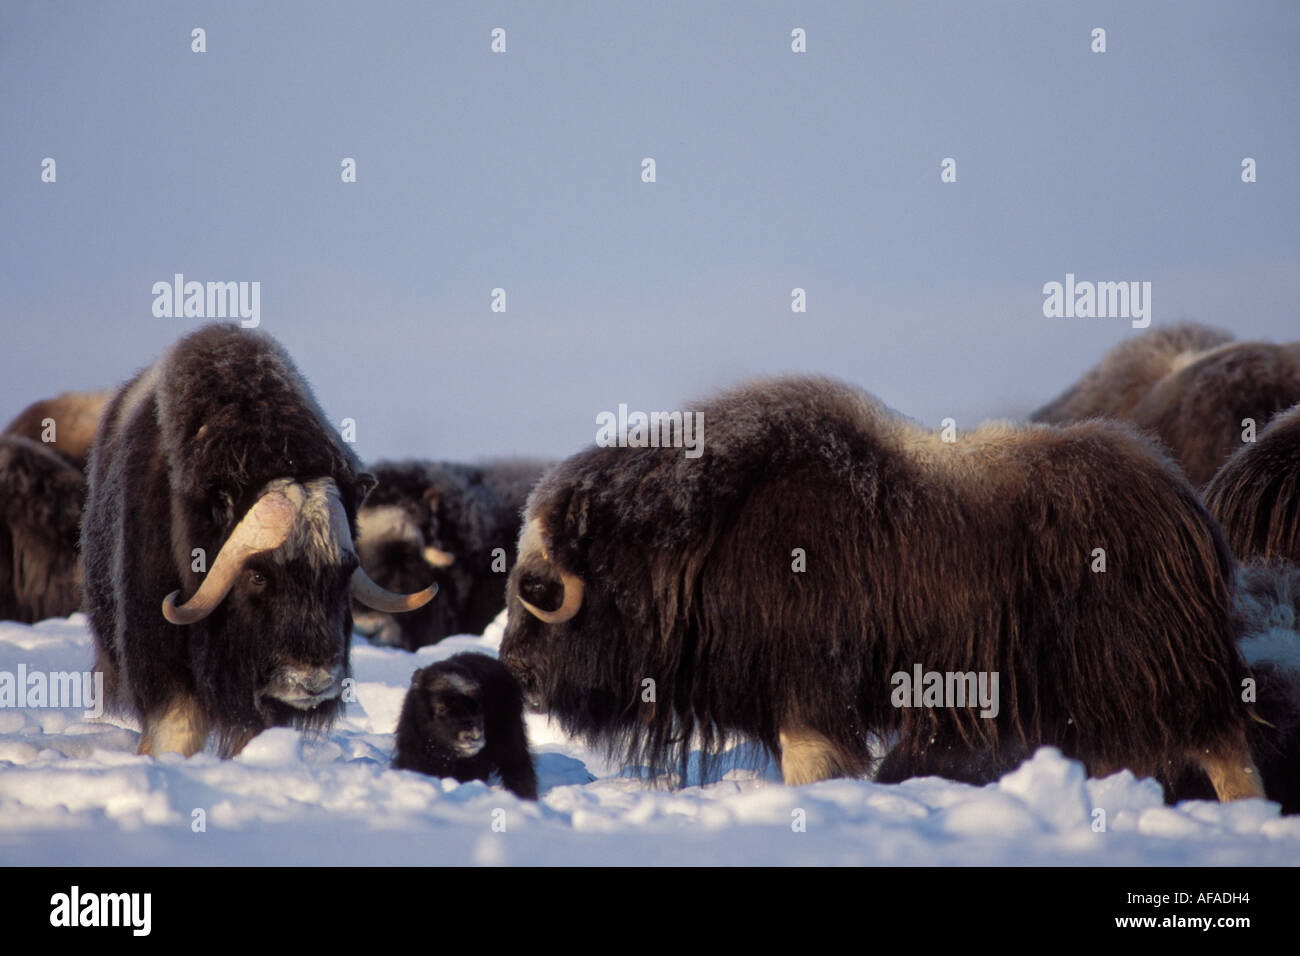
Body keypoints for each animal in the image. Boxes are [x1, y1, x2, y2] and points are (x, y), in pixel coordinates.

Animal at [500, 374, 1262, 801]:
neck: (699, 536)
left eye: (539, 587)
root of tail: (1183, 503)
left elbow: (814, 762)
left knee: (1223, 748)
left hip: (1159, 675)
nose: (511, 671)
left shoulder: (809, 693)